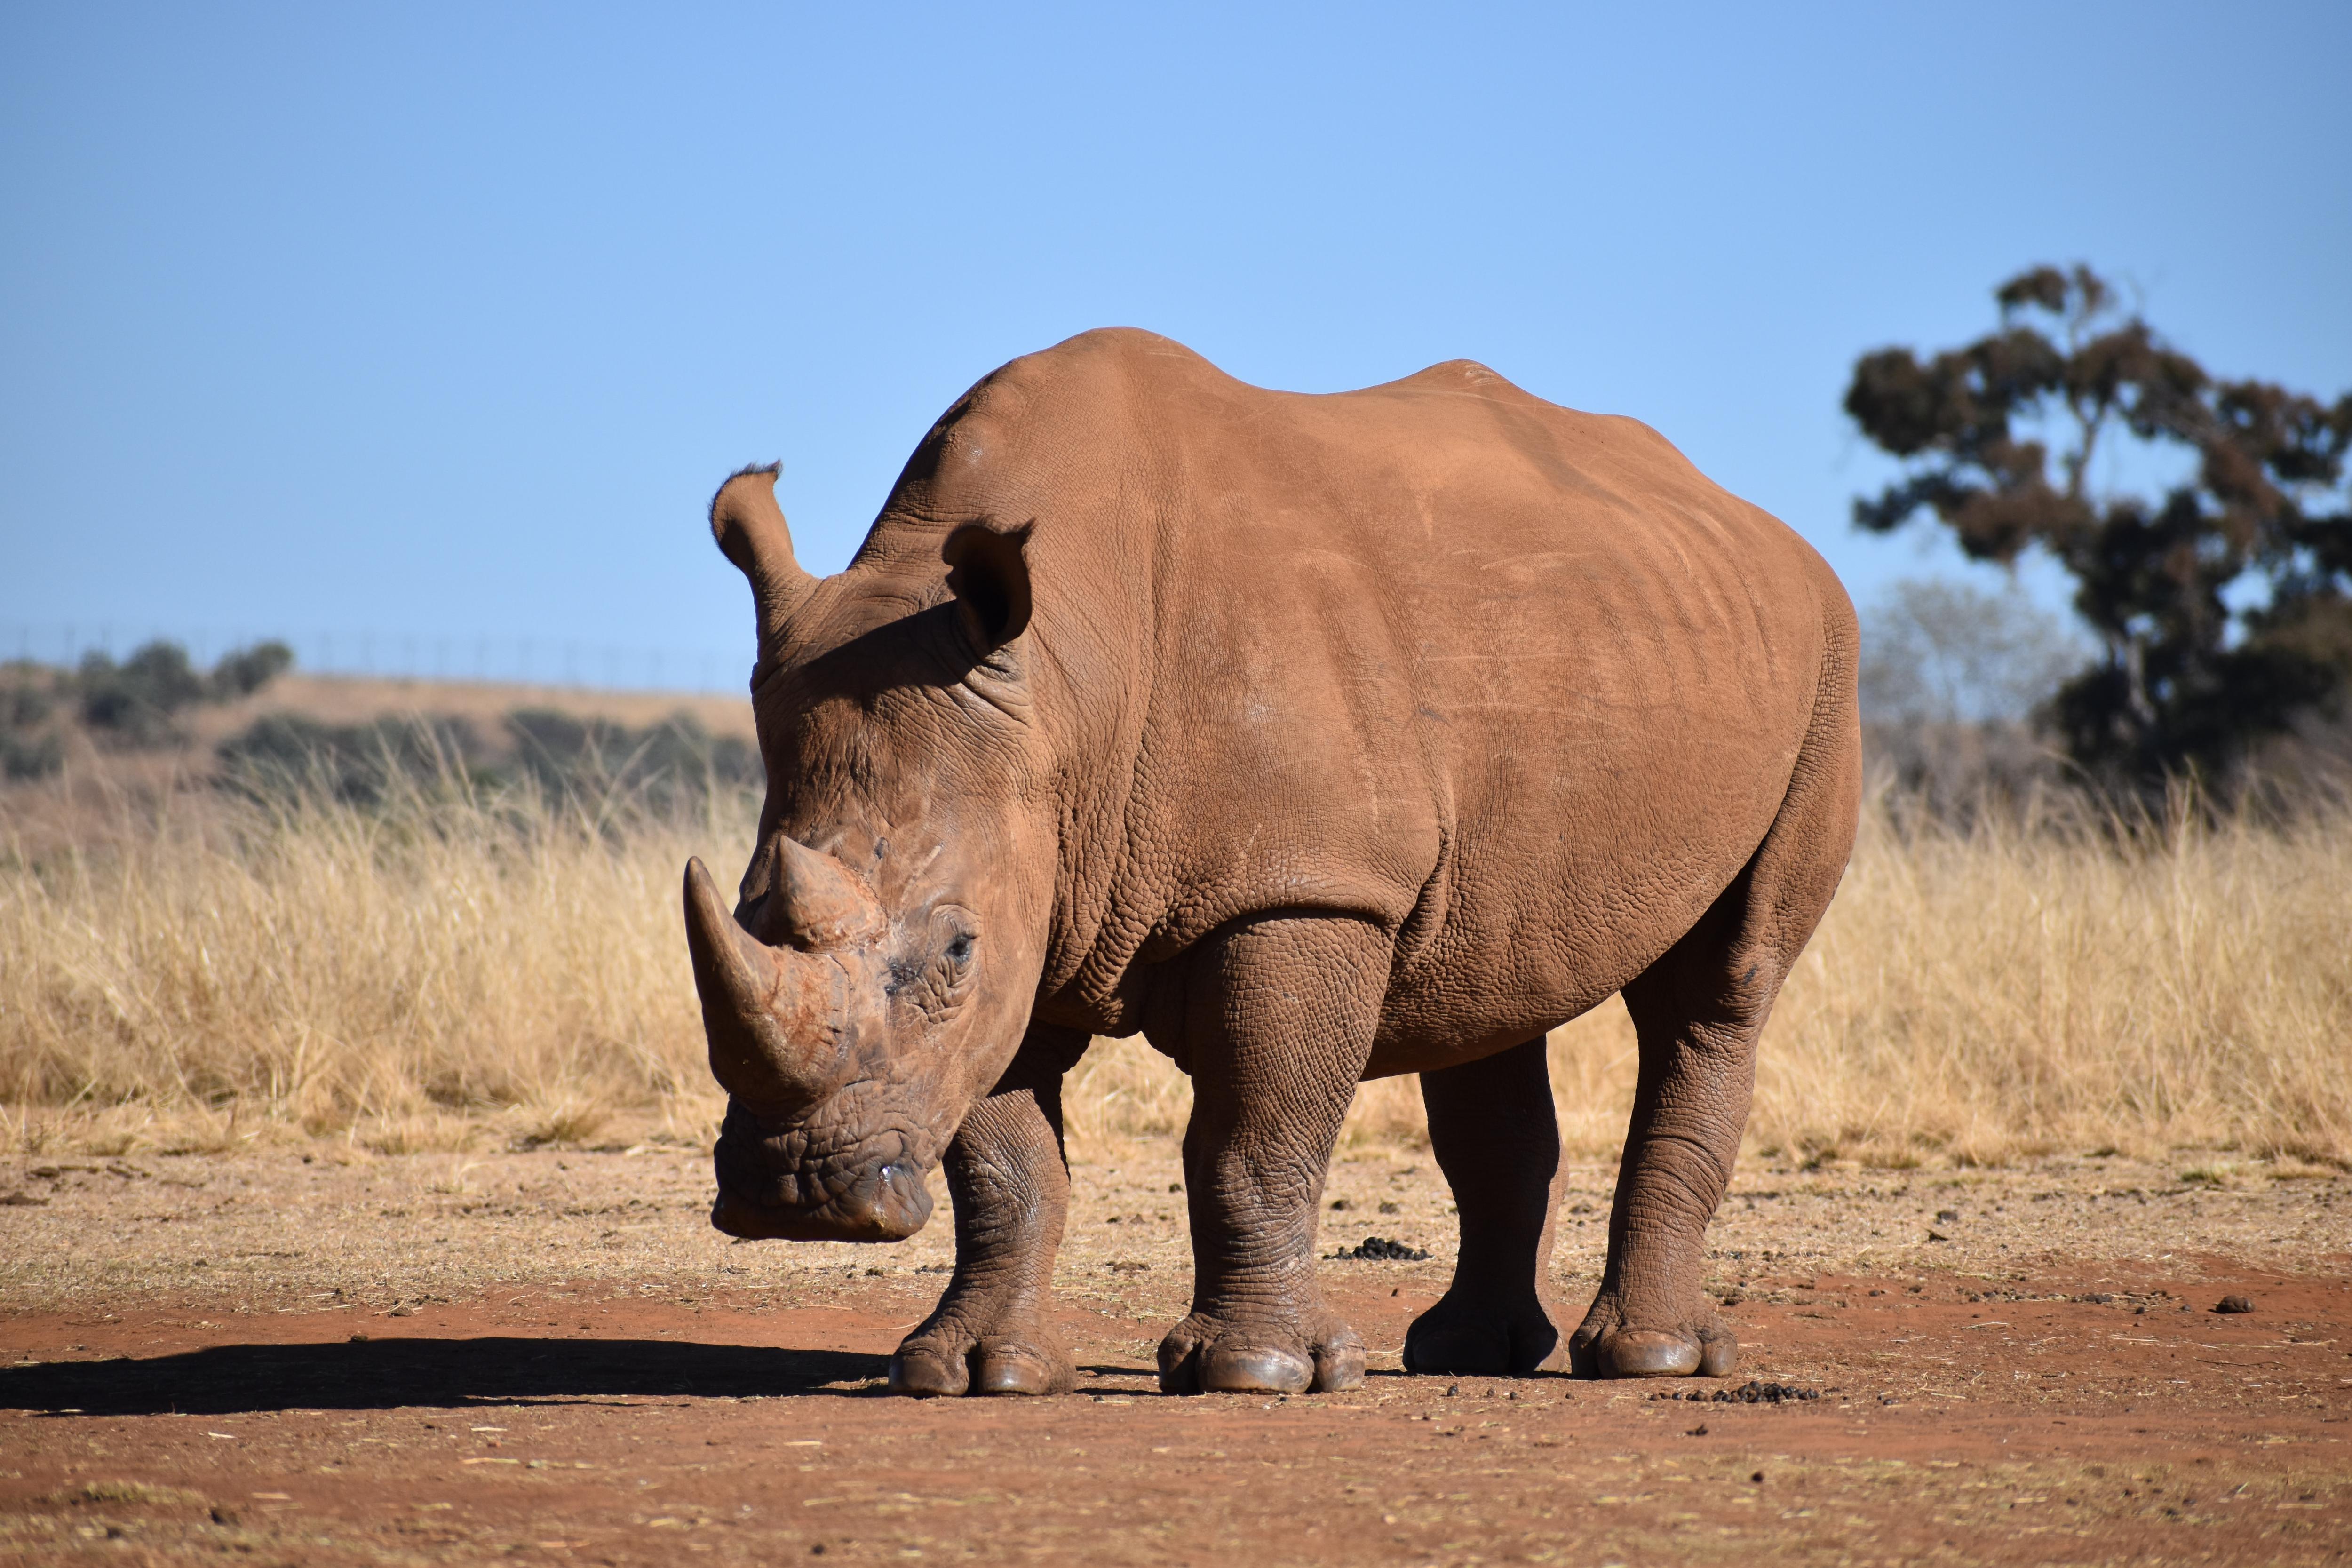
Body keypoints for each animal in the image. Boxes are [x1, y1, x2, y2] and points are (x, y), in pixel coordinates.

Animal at [684, 329, 1859, 1397]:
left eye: (953, 952)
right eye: (743, 911)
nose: (792, 1194)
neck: (1066, 684)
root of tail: (1758, 524)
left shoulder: (1302, 886)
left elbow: (1251, 1136)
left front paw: (1256, 1372)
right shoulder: (1036, 883)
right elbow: (1003, 1159)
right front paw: (976, 1372)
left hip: (1824, 667)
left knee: (1718, 988)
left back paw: (1649, 1359)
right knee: (1487, 988)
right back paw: (1468, 1353)